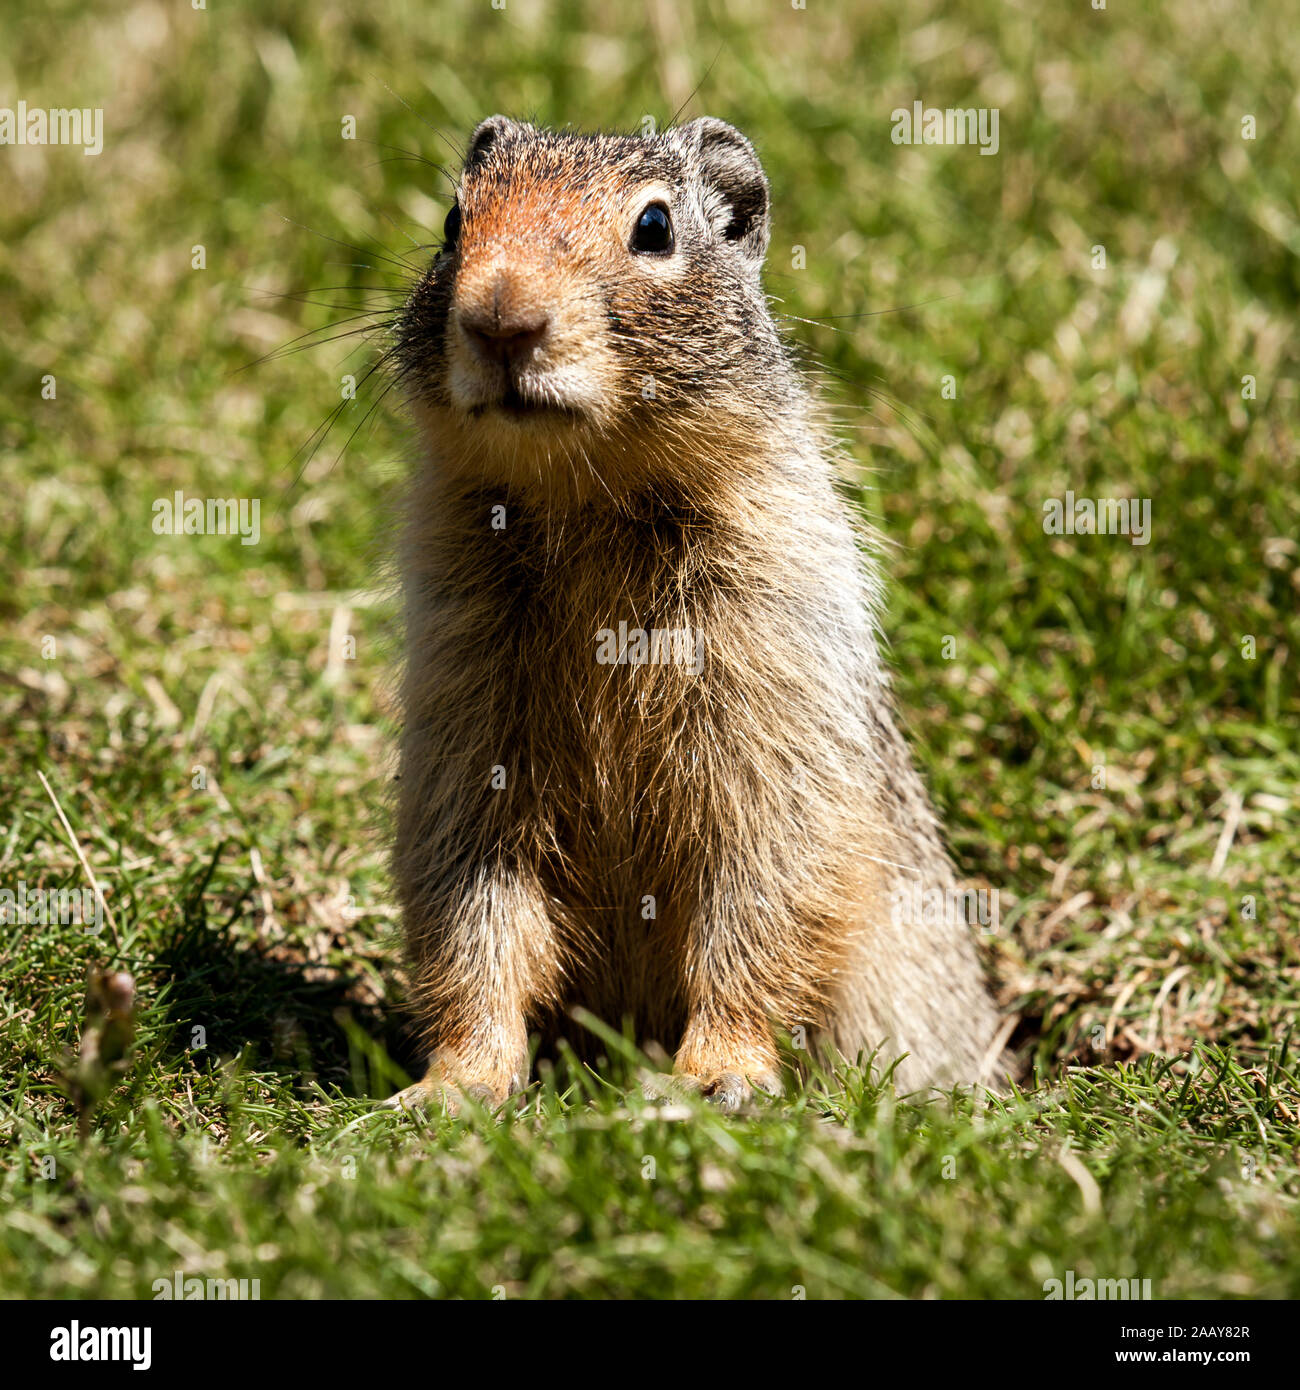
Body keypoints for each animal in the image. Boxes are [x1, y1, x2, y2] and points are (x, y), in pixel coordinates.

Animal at [385, 115, 1006, 1113]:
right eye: (451, 222)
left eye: (654, 227)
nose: (501, 317)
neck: (586, 500)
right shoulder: (465, 700)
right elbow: (470, 891)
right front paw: (453, 1085)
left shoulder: (767, 672)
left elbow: (764, 884)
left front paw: (717, 1076)